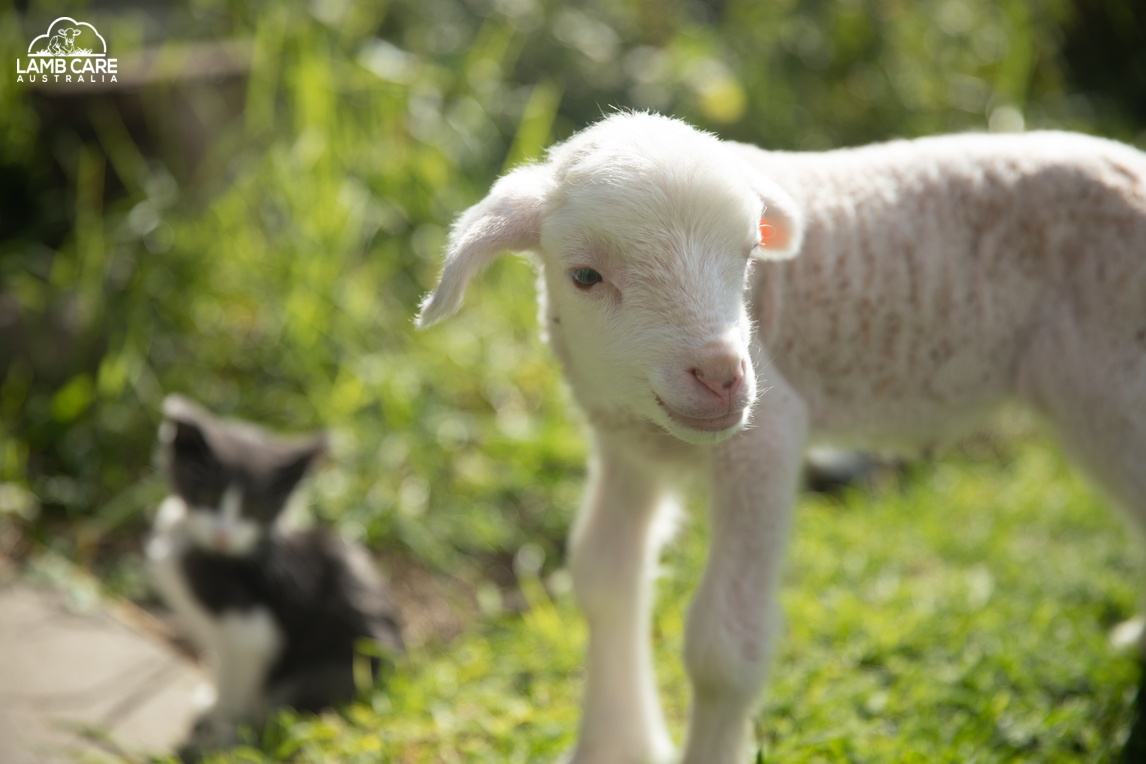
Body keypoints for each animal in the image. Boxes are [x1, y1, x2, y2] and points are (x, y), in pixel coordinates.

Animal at [417, 111, 1146, 764]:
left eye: (748, 254)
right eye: (585, 276)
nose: (721, 376)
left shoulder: (766, 432)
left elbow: (724, 646)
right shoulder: (628, 444)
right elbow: (604, 577)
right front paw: (612, 748)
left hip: (1112, 389)